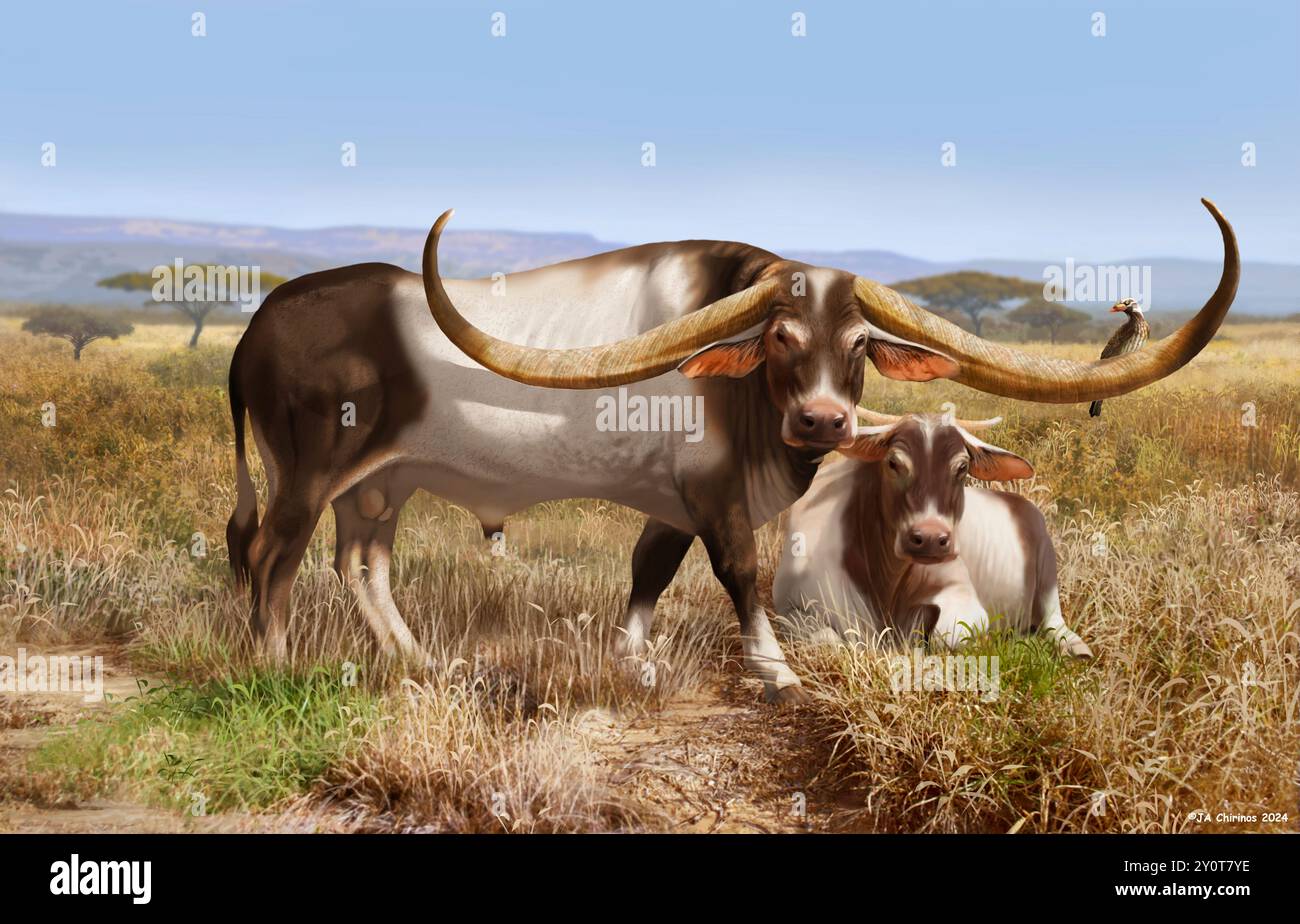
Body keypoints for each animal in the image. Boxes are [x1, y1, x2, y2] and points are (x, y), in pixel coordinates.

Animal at [774, 411, 1092, 657]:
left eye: (962, 467)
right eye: (893, 463)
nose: (929, 539)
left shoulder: (963, 597)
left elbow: (946, 635)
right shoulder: (788, 606)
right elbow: (827, 639)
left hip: (1047, 570)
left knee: (1053, 620)